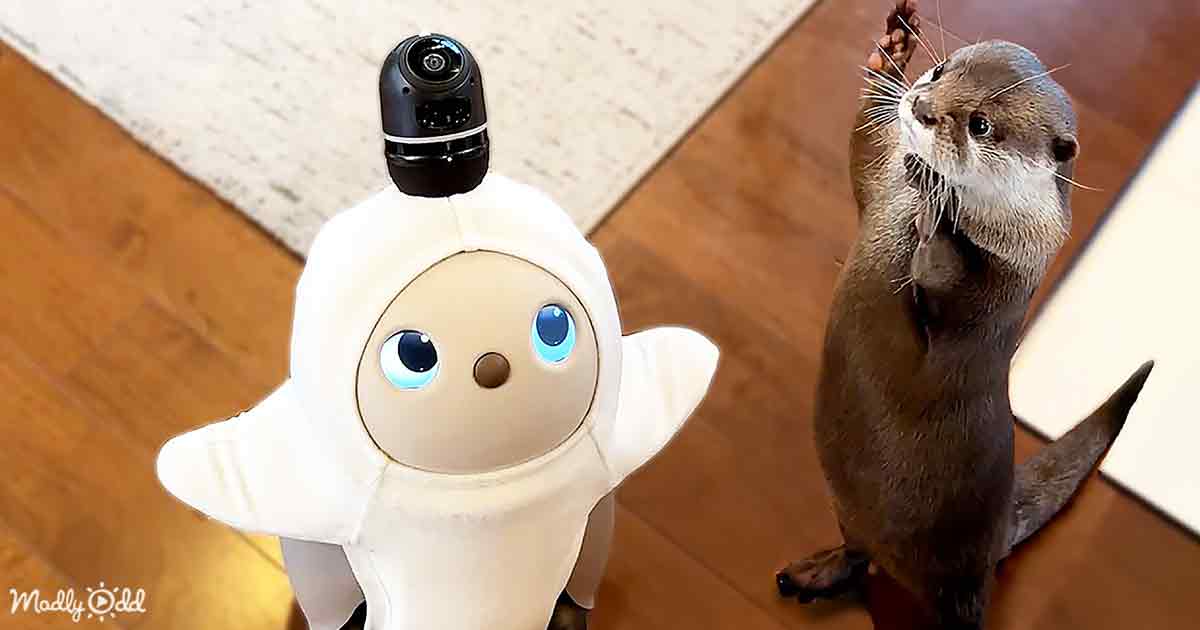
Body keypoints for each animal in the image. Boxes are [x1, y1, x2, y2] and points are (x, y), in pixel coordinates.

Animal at [774, 1, 1153, 628]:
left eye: (979, 124)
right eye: (939, 71)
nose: (922, 106)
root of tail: (1001, 522)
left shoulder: (1014, 276)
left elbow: (960, 302)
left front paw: (938, 228)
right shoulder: (880, 184)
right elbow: (861, 145)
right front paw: (892, 51)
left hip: (962, 564)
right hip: (851, 512)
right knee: (858, 549)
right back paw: (818, 572)